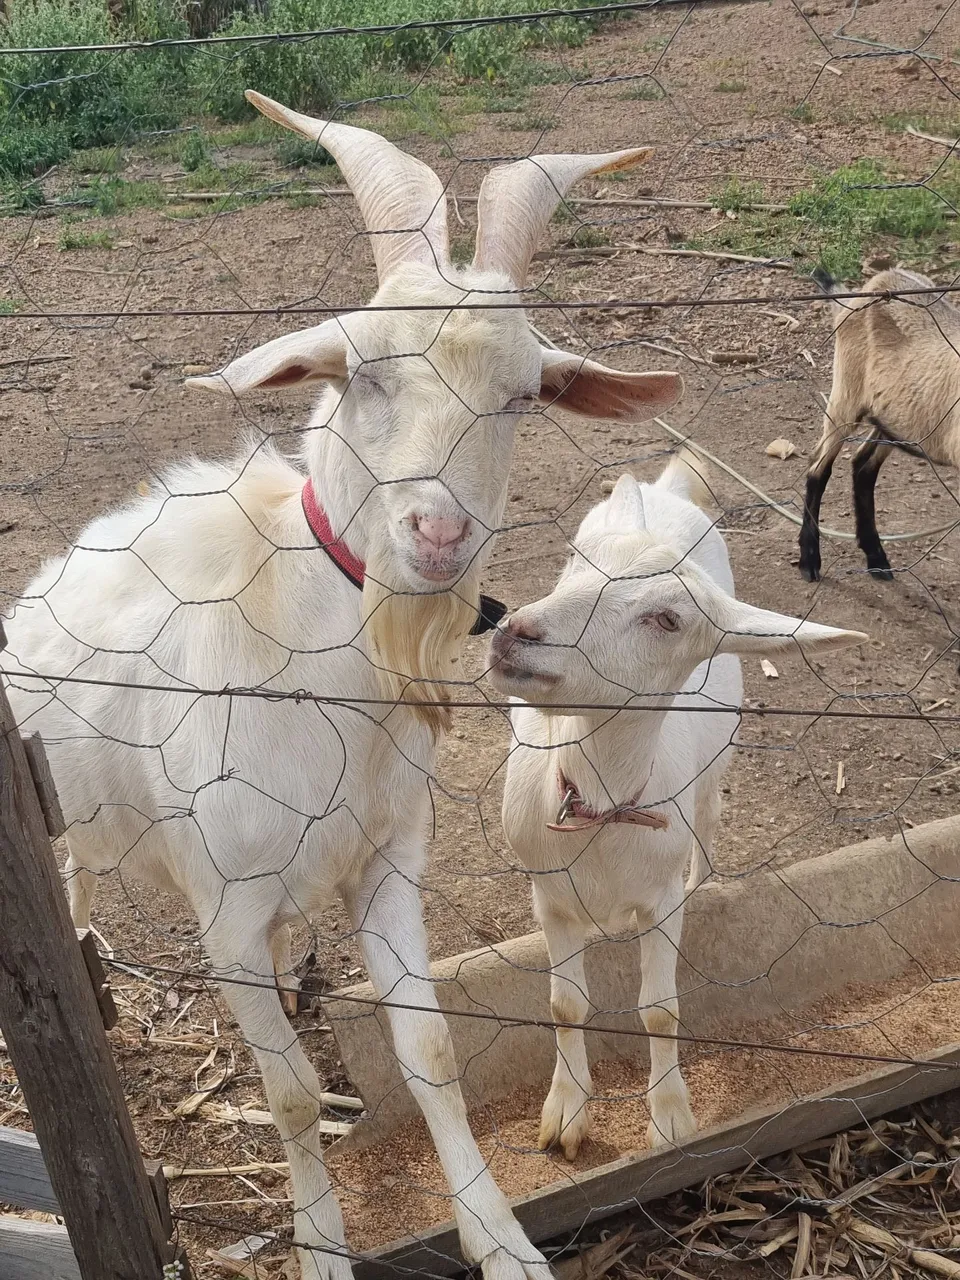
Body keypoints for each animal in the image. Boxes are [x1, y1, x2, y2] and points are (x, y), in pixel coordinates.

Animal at [2, 91, 684, 1280]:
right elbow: (281, 1092)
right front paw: (321, 1247)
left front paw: (502, 1239)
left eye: (523, 395)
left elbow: (431, 1048)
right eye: (360, 369)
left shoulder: (385, 861)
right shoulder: (225, 914)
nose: (439, 533)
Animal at [489, 453, 866, 1160]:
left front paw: (669, 1120)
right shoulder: (548, 895)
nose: (513, 634)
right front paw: (566, 1113)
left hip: (718, 762)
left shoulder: (657, 900)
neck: (603, 811)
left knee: (710, 821)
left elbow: (659, 1010)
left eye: (667, 620)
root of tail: (663, 492)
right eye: (577, 558)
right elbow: (565, 1006)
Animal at [799, 267, 960, 582]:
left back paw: (875, 556)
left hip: (895, 419)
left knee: (863, 466)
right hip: (845, 394)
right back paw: (809, 559)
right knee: (818, 468)